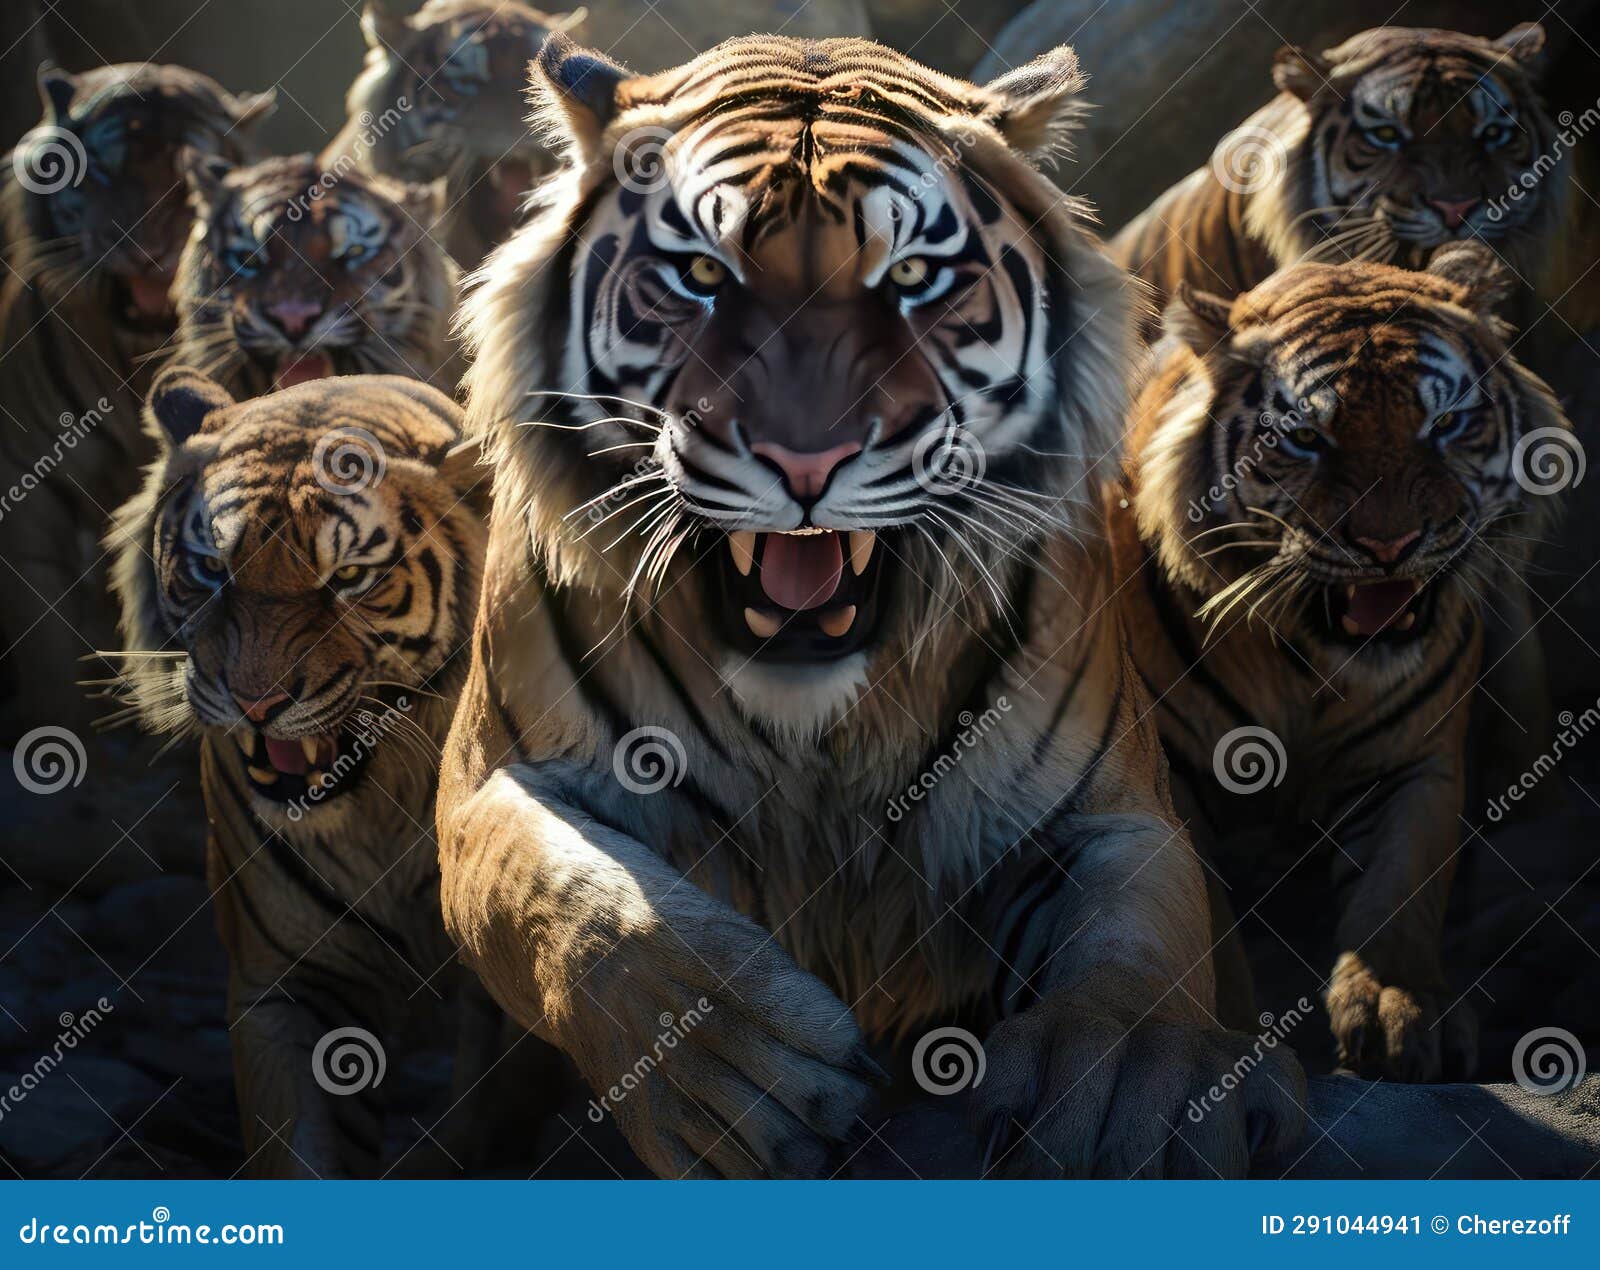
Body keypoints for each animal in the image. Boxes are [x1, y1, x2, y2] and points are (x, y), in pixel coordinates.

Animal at [436, 34, 1306, 1180]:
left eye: (913, 278)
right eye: (701, 274)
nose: (807, 458)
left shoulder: (1106, 809)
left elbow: (1136, 955)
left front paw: (1121, 1093)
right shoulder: (490, 781)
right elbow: (569, 901)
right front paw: (740, 1080)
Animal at [1108, 243, 1574, 1082]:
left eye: (1445, 424)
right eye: (1303, 437)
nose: (1390, 545)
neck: (1311, 661)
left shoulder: (1415, 762)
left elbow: (1402, 885)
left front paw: (1400, 1014)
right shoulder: (1167, 776)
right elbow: (1203, 920)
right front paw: (1226, 1038)